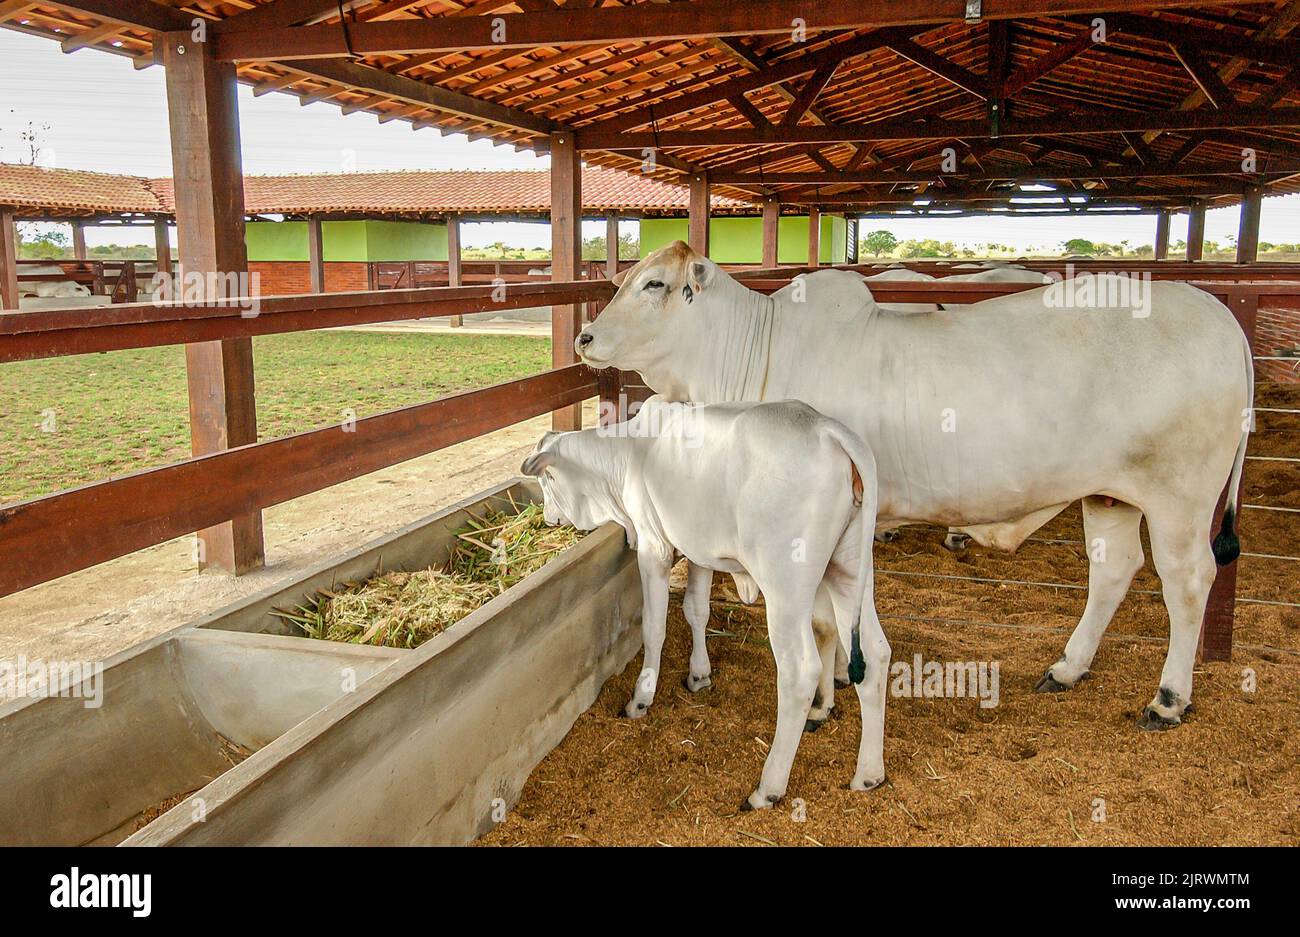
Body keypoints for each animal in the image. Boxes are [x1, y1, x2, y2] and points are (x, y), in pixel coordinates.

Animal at [521, 396, 889, 807]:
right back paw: (868, 774)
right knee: (875, 653)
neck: (626, 455)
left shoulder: (654, 547)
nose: (548, 519)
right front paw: (699, 674)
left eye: (545, 480)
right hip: (849, 570)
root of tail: (827, 429)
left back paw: (768, 787)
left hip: (786, 585)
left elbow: (655, 627)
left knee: (799, 672)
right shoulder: (698, 552)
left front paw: (641, 698)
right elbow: (696, 610)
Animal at [578, 241, 1253, 730]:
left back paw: (1168, 698)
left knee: (1188, 582)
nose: (584, 337)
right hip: (1109, 493)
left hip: (1179, 498)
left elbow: (826, 618)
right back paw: (1067, 668)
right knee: (1113, 570)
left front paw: (830, 692)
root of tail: (1222, 317)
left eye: (655, 284)